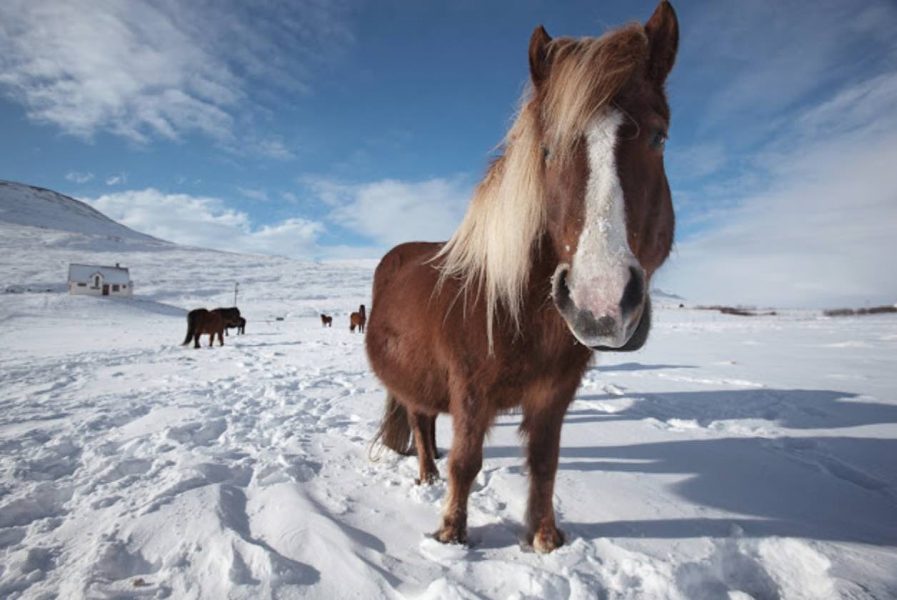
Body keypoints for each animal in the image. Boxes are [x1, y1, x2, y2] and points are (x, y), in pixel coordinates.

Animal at [365, 1, 678, 553]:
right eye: (547, 150)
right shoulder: (470, 392)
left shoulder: (555, 394)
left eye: (660, 136)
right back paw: (426, 475)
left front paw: (546, 538)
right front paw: (452, 535)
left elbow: (545, 463)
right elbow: (466, 463)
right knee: (422, 424)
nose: (601, 305)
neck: (515, 309)